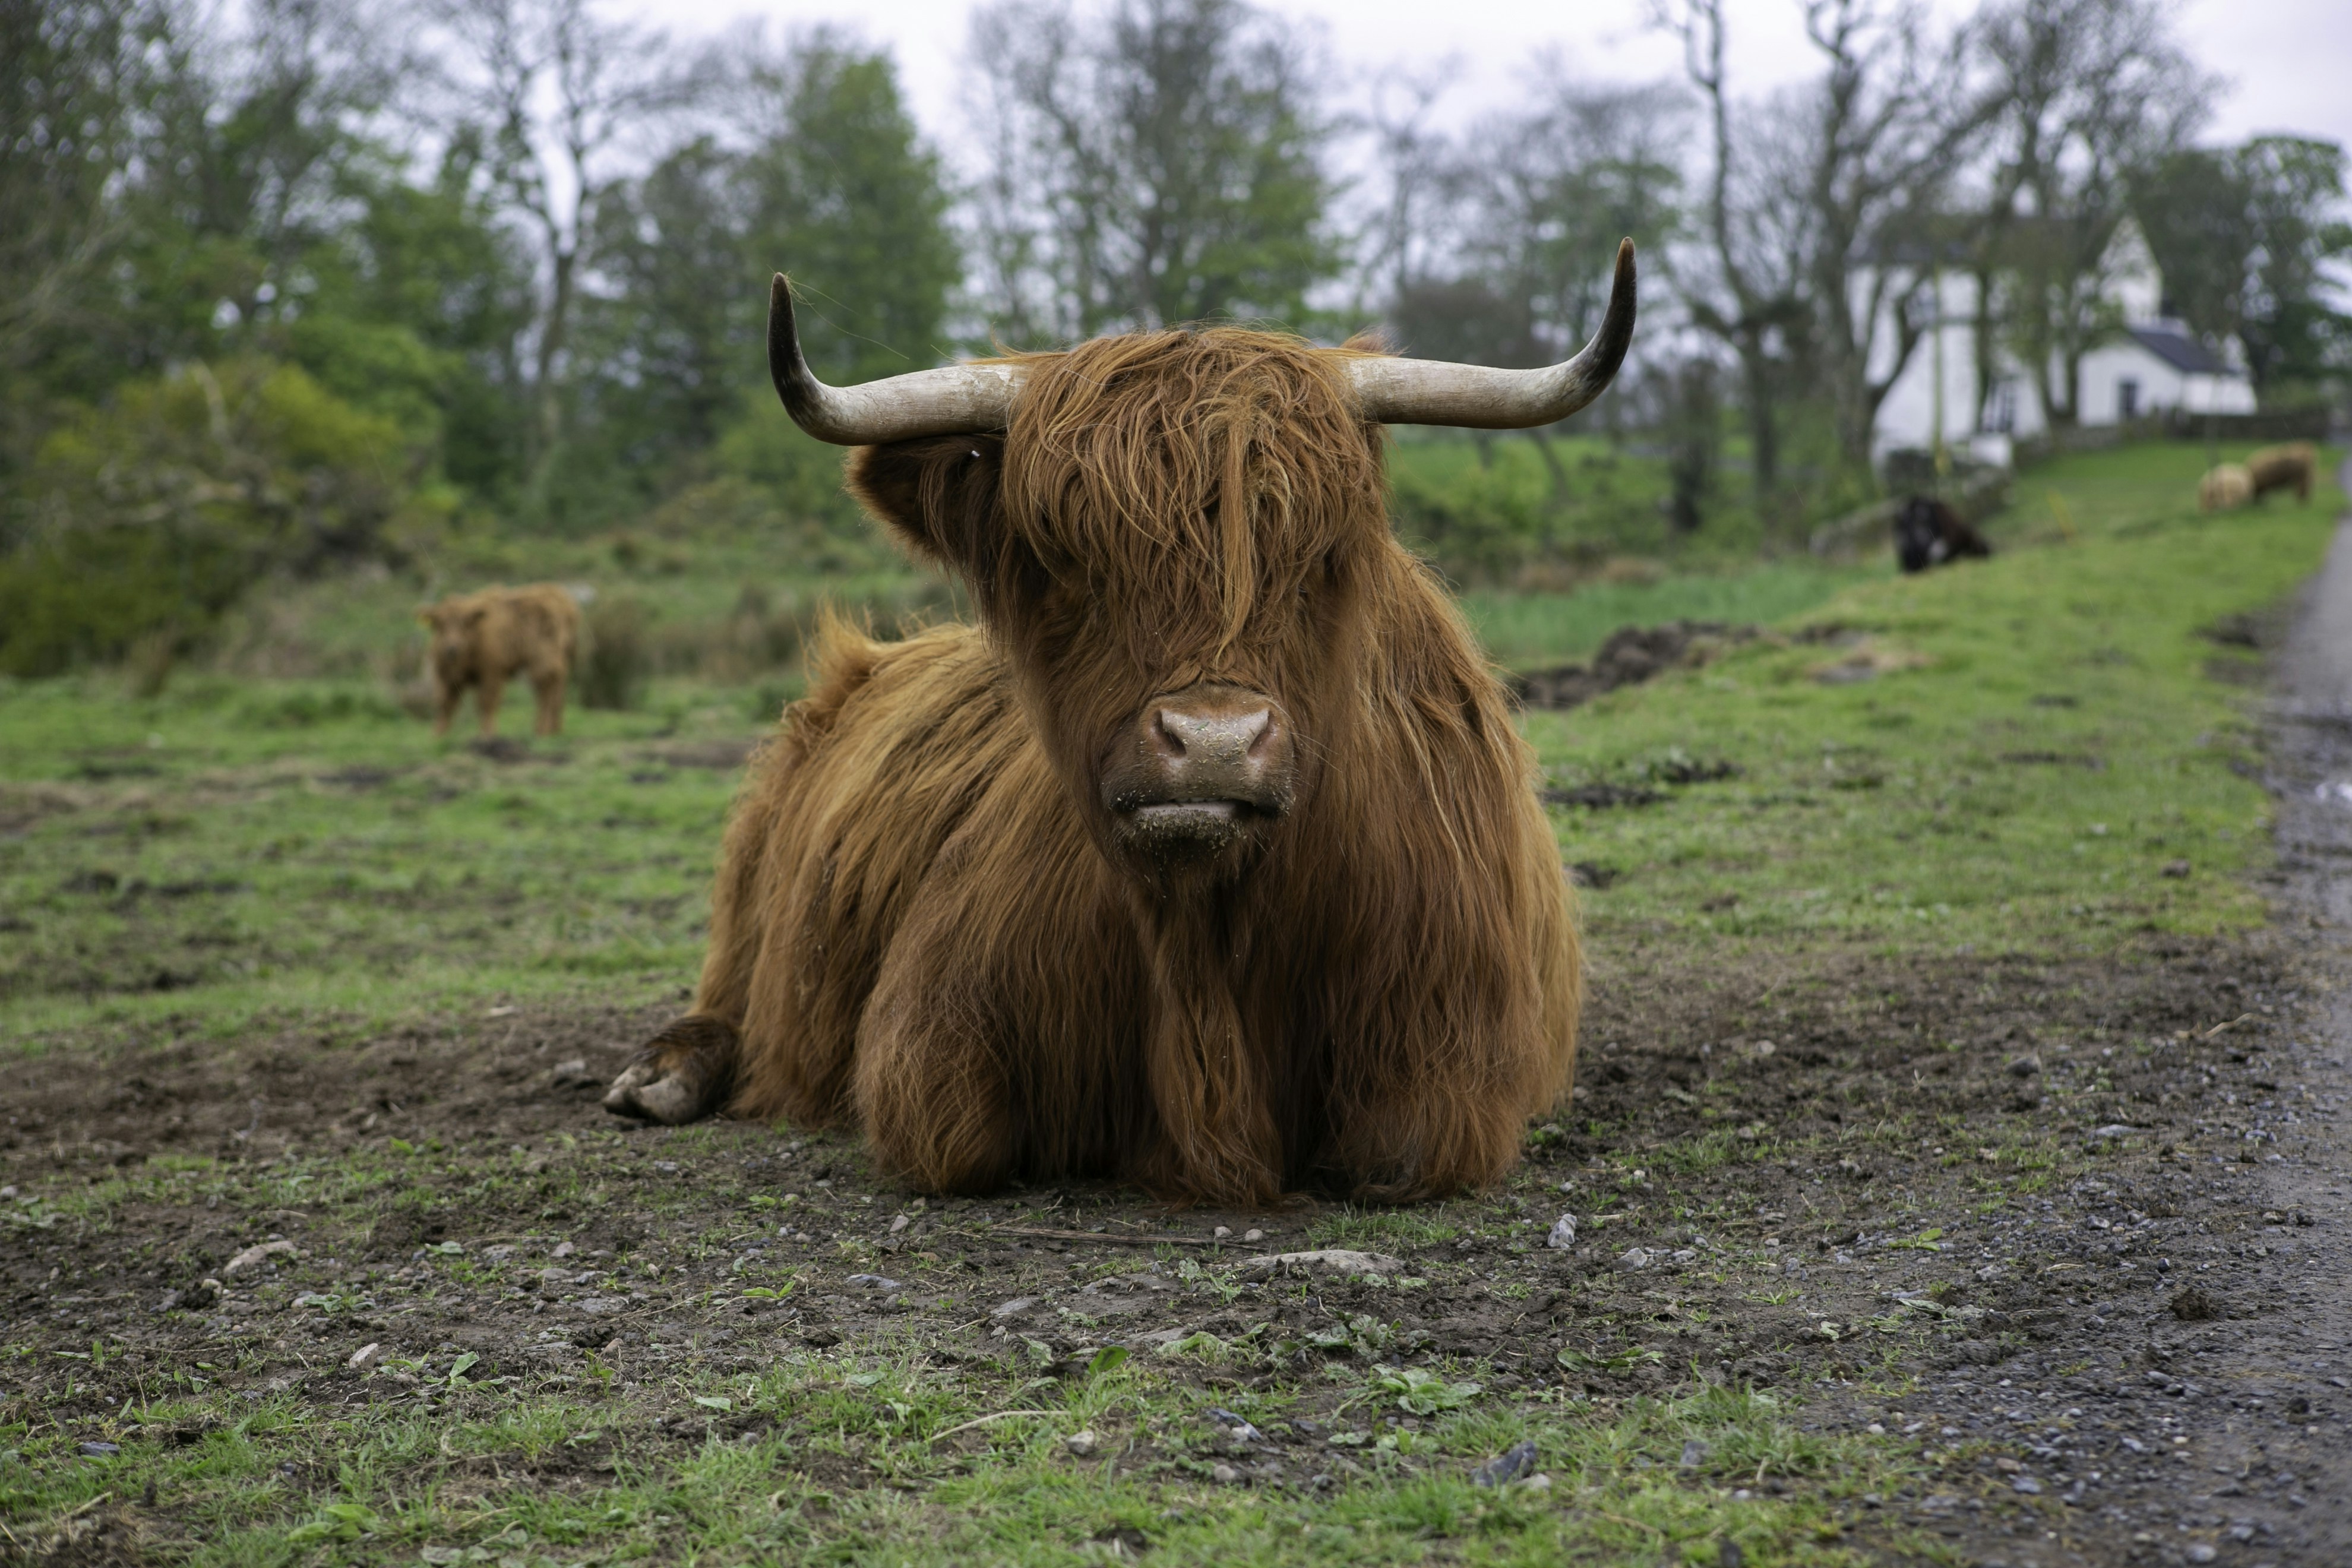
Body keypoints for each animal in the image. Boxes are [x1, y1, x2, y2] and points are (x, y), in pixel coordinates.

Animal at [417, 584, 581, 737]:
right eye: (439, 624)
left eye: (466, 623)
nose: (452, 647)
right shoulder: (445, 676)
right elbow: (444, 704)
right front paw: (437, 735)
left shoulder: (492, 673)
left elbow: (486, 702)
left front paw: (487, 733)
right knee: (555, 691)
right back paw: (553, 729)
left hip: (543, 661)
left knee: (547, 690)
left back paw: (543, 731)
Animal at [600, 243, 1641, 1207]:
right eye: (1067, 561)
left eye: (1320, 554)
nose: (1213, 743)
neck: (1204, 951)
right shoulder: (928, 1034)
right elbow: (958, 1139)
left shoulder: (1450, 1058)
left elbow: (1402, 1150)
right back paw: (661, 1076)